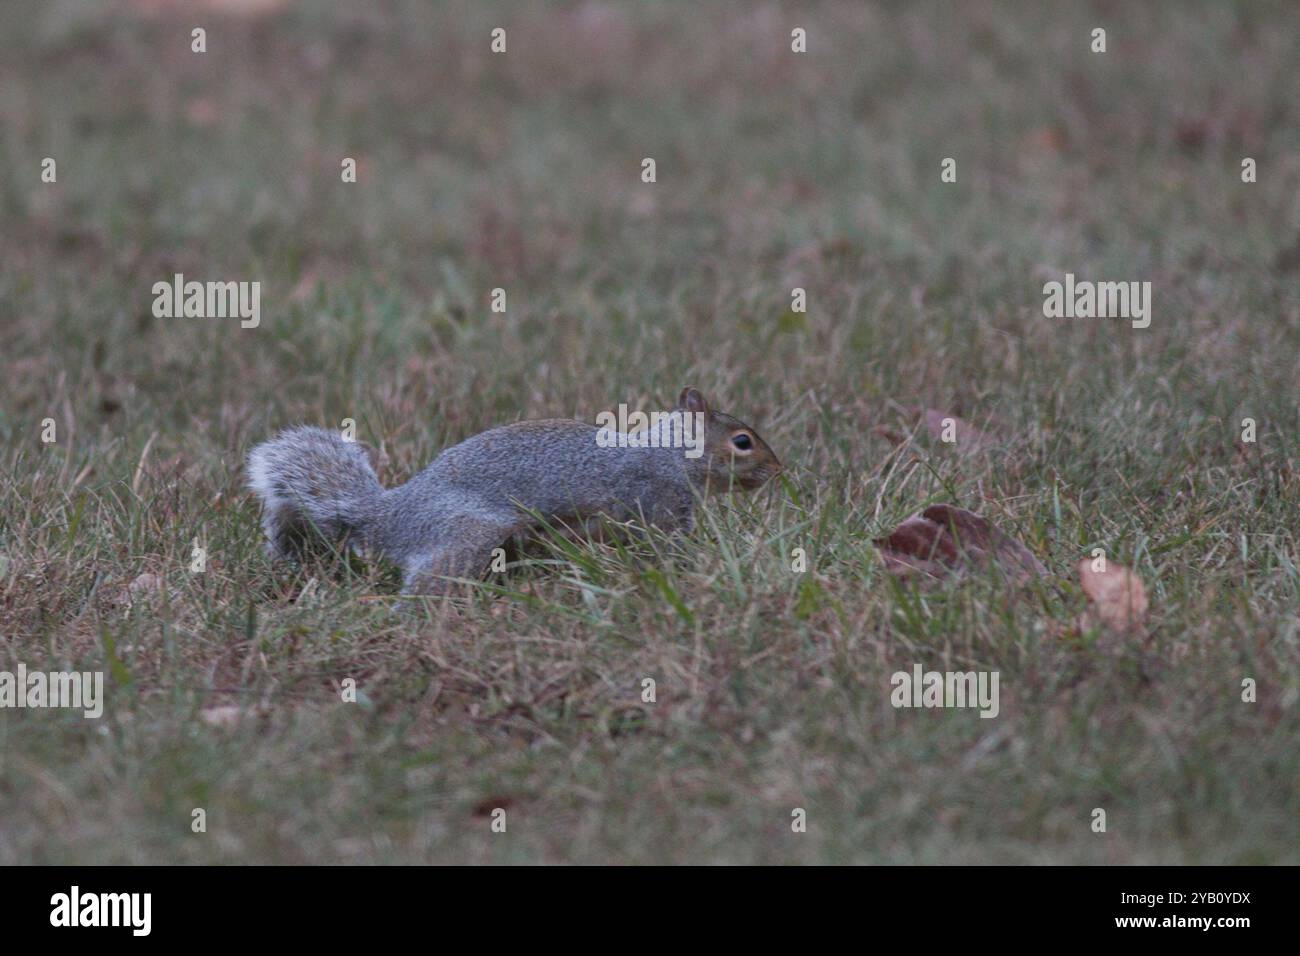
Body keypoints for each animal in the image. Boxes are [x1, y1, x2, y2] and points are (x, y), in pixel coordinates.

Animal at [247, 387, 781, 595]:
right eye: (743, 442)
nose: (779, 471)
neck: (667, 454)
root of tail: (389, 514)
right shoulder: (657, 504)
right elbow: (668, 547)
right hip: (467, 532)